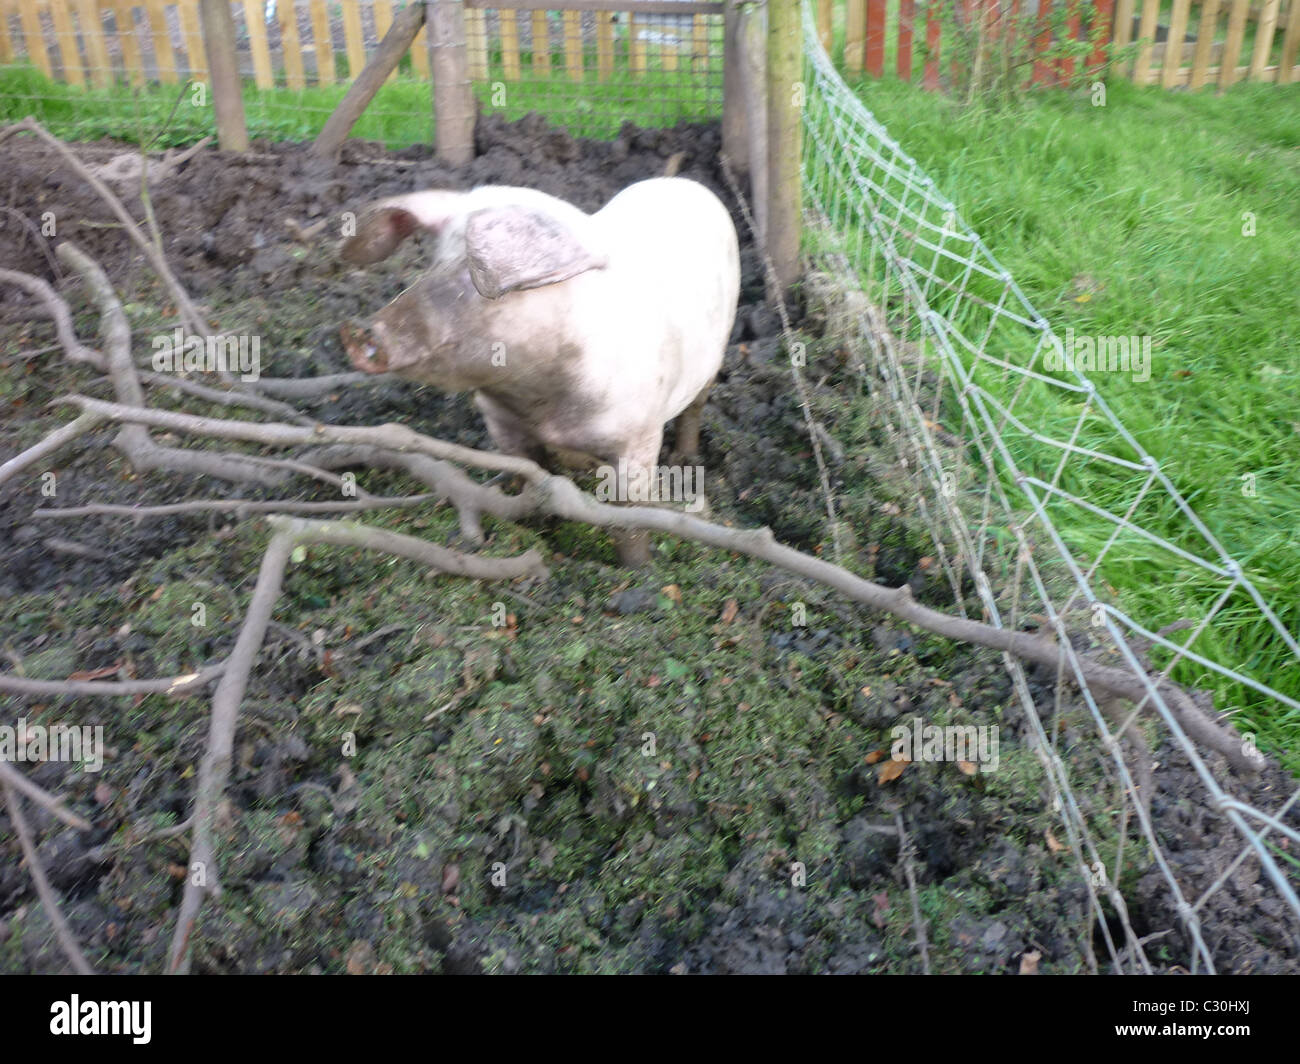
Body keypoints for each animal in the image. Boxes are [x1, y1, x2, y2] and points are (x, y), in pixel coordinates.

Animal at [338, 177, 741, 565]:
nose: (358, 332)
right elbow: (530, 484)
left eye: (472, 277)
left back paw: (683, 459)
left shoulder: (636, 437)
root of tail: (691, 185)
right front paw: (539, 535)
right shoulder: (502, 424)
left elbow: (628, 516)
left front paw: (638, 570)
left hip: (717, 346)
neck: (540, 402)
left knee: (695, 406)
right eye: (433, 265)